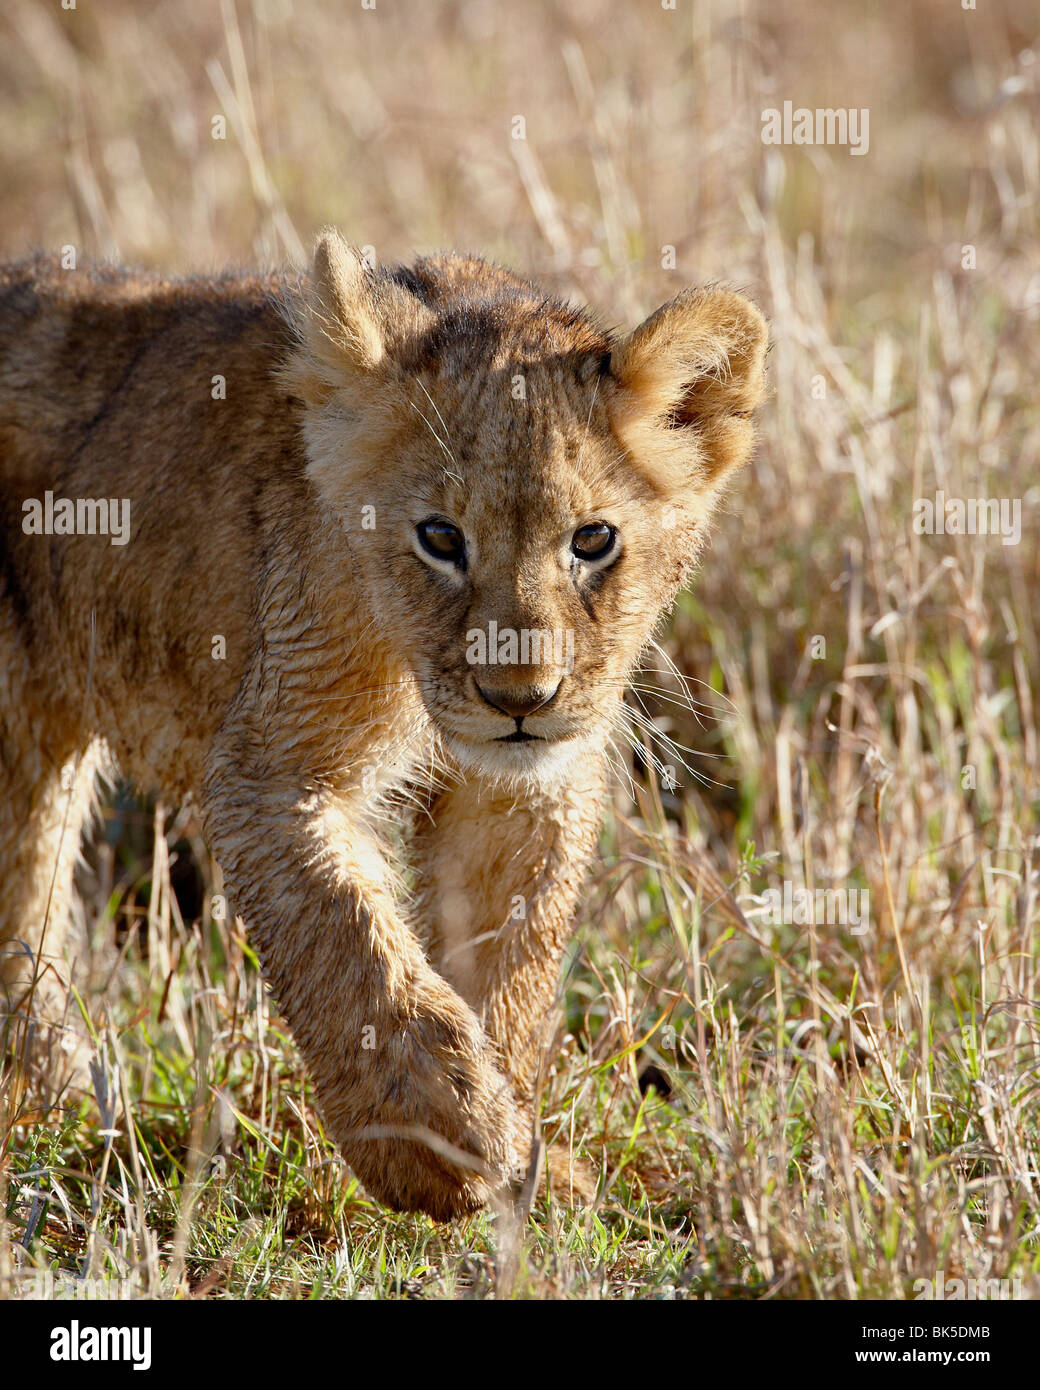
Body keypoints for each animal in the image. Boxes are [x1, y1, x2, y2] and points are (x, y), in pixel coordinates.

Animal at [0, 231, 766, 1219]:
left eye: (592, 541)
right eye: (439, 539)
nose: (519, 699)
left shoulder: (519, 795)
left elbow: (509, 968)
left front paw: (520, 1156)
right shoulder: (274, 765)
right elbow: (350, 943)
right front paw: (438, 1138)